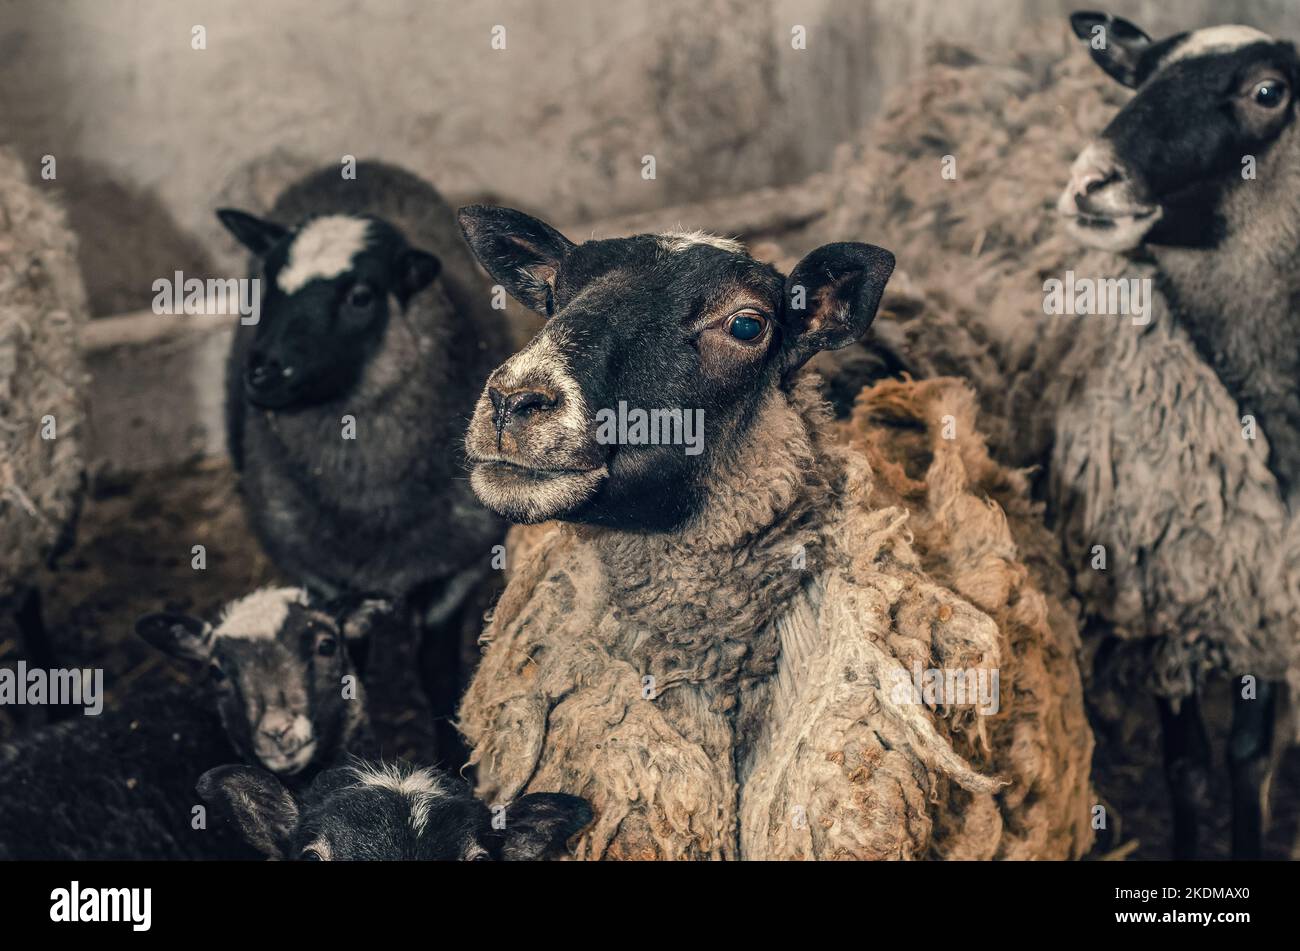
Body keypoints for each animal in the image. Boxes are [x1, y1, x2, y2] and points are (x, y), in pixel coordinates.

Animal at [217, 161, 517, 760]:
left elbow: (438, 673)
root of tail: (347, 168)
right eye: (268, 285)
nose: (261, 373)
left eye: (360, 296)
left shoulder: (458, 568)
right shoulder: (325, 579)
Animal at [811, 14, 1300, 859]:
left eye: (1267, 92)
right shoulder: (1156, 592)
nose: (1091, 184)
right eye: (1143, 75)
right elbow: (1188, 763)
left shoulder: (1261, 586)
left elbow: (1249, 759)